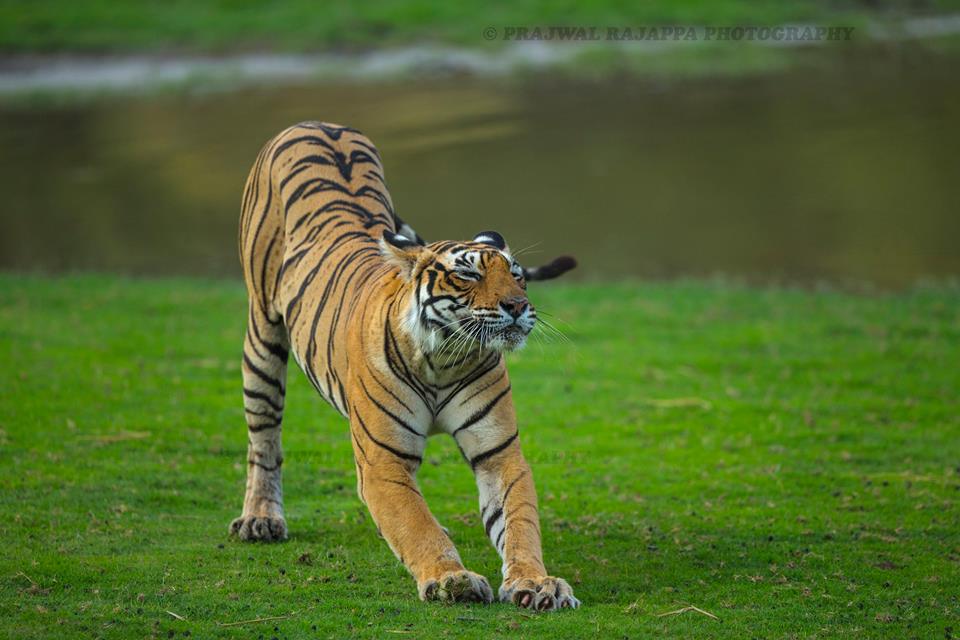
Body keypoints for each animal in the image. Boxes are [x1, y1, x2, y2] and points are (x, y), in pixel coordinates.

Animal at [231, 121, 579, 611]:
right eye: (468, 274)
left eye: (516, 274)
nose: (517, 306)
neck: (443, 359)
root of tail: (317, 123)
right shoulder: (383, 460)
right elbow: (417, 525)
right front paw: (451, 579)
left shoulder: (499, 453)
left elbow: (519, 523)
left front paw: (536, 582)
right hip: (262, 338)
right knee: (263, 438)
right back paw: (261, 518)